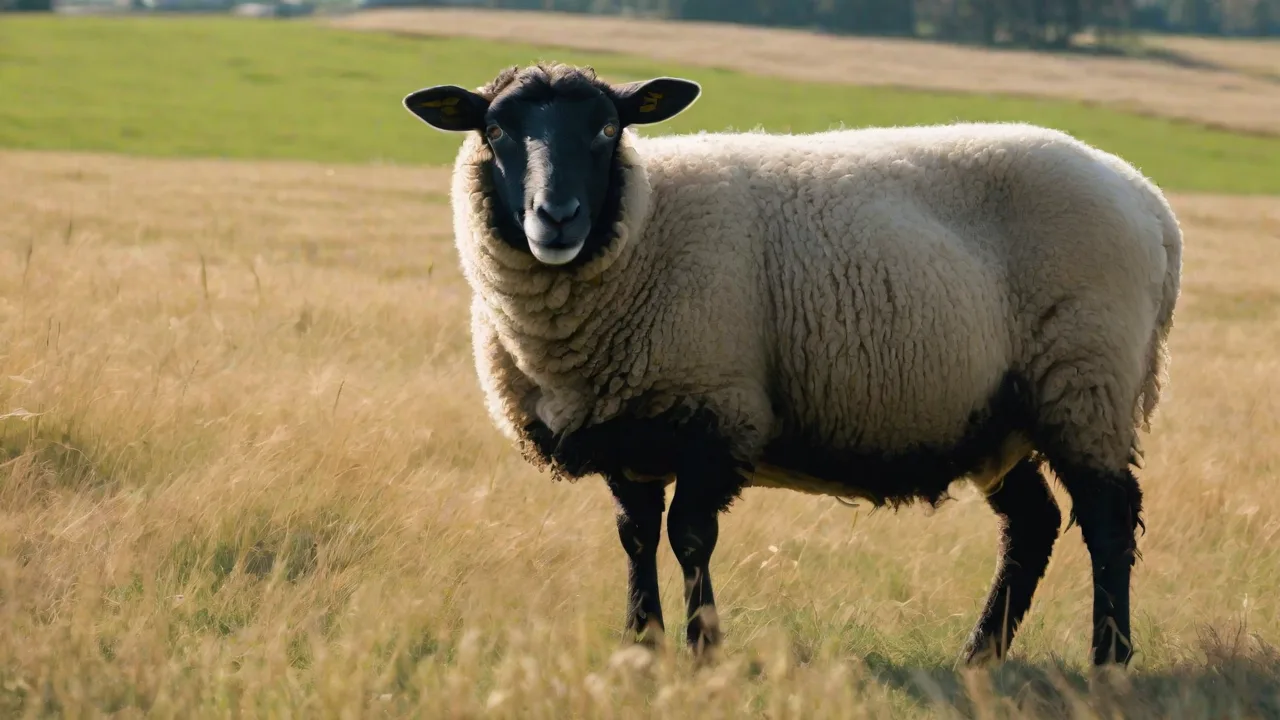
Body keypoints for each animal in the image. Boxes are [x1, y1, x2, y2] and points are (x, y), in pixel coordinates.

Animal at [402, 62, 1182, 667]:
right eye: (495, 131)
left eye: (606, 129)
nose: (556, 216)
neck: (644, 229)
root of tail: (1147, 198)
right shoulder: (627, 426)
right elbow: (635, 536)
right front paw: (642, 646)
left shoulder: (718, 409)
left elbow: (690, 536)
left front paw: (703, 651)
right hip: (995, 411)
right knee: (1033, 525)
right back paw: (978, 657)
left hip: (1084, 380)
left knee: (1107, 520)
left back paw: (1108, 660)